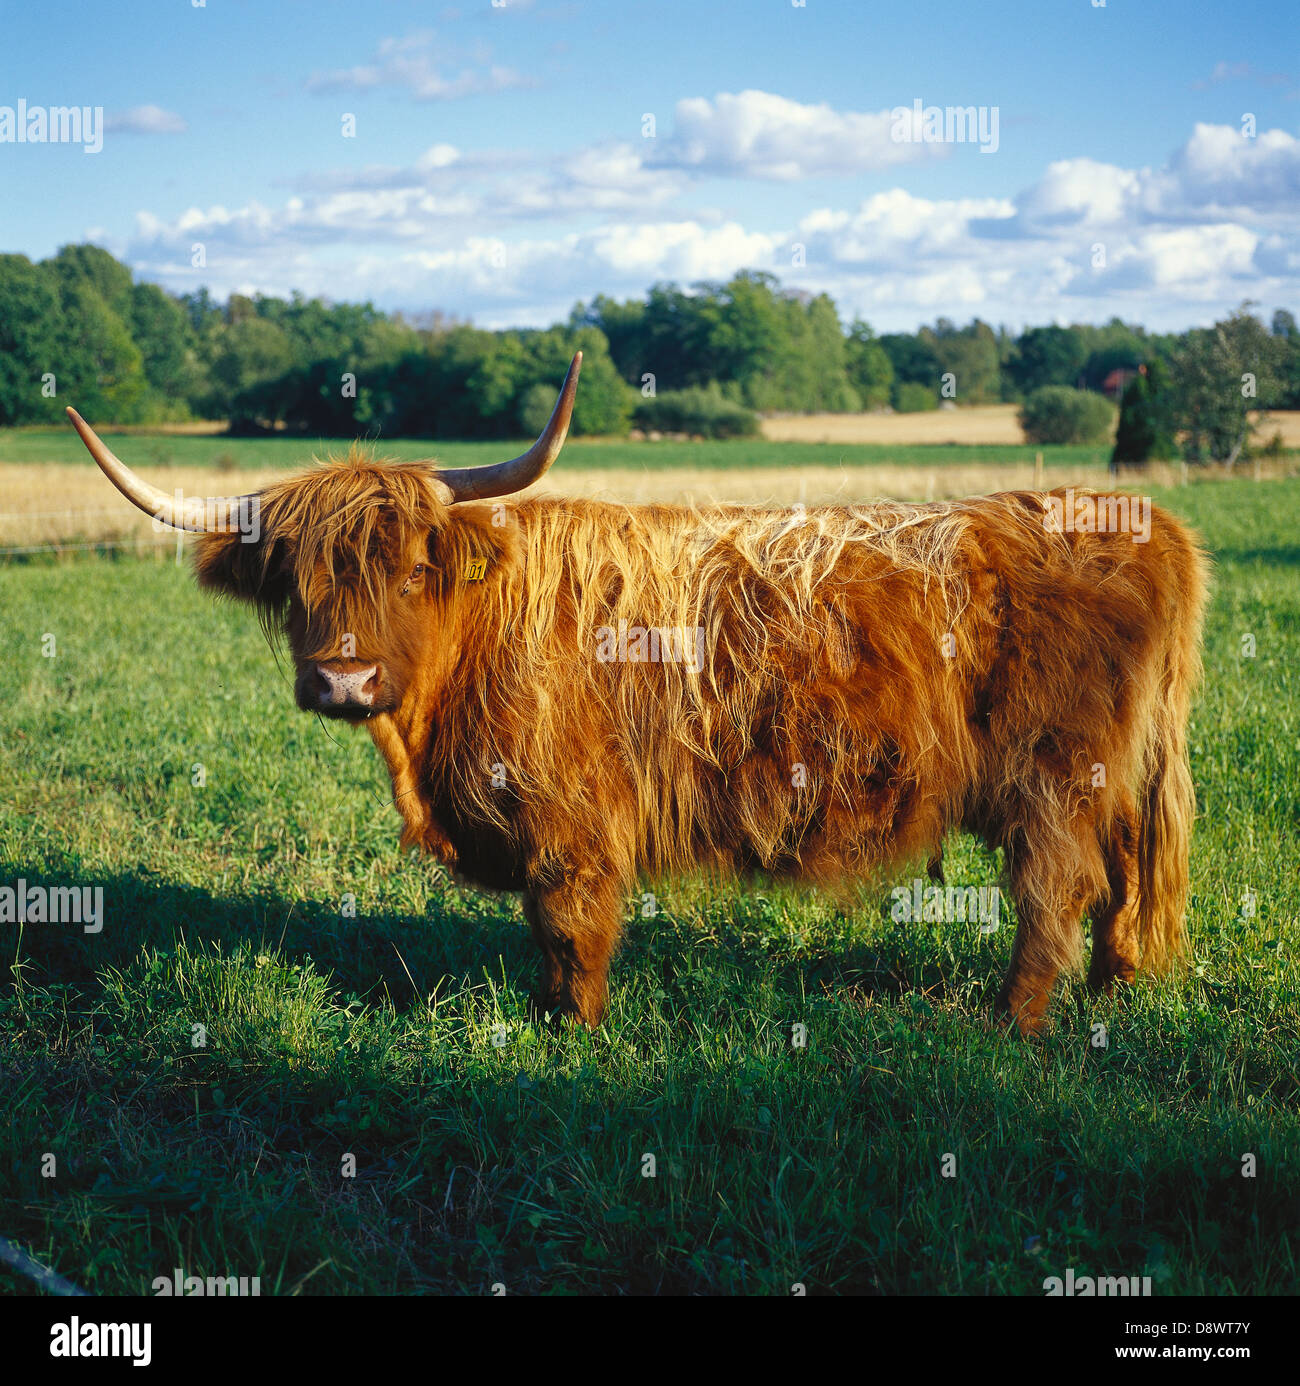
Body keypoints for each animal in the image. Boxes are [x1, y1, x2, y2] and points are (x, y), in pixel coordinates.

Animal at [67, 354, 1208, 1036]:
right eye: (299, 578)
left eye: (414, 569)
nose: (344, 677)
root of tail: (1140, 519)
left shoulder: (568, 820)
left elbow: (568, 925)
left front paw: (569, 1031)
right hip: (1113, 773)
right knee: (1122, 877)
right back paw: (1118, 990)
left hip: (1053, 777)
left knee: (1055, 892)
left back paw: (1013, 1022)